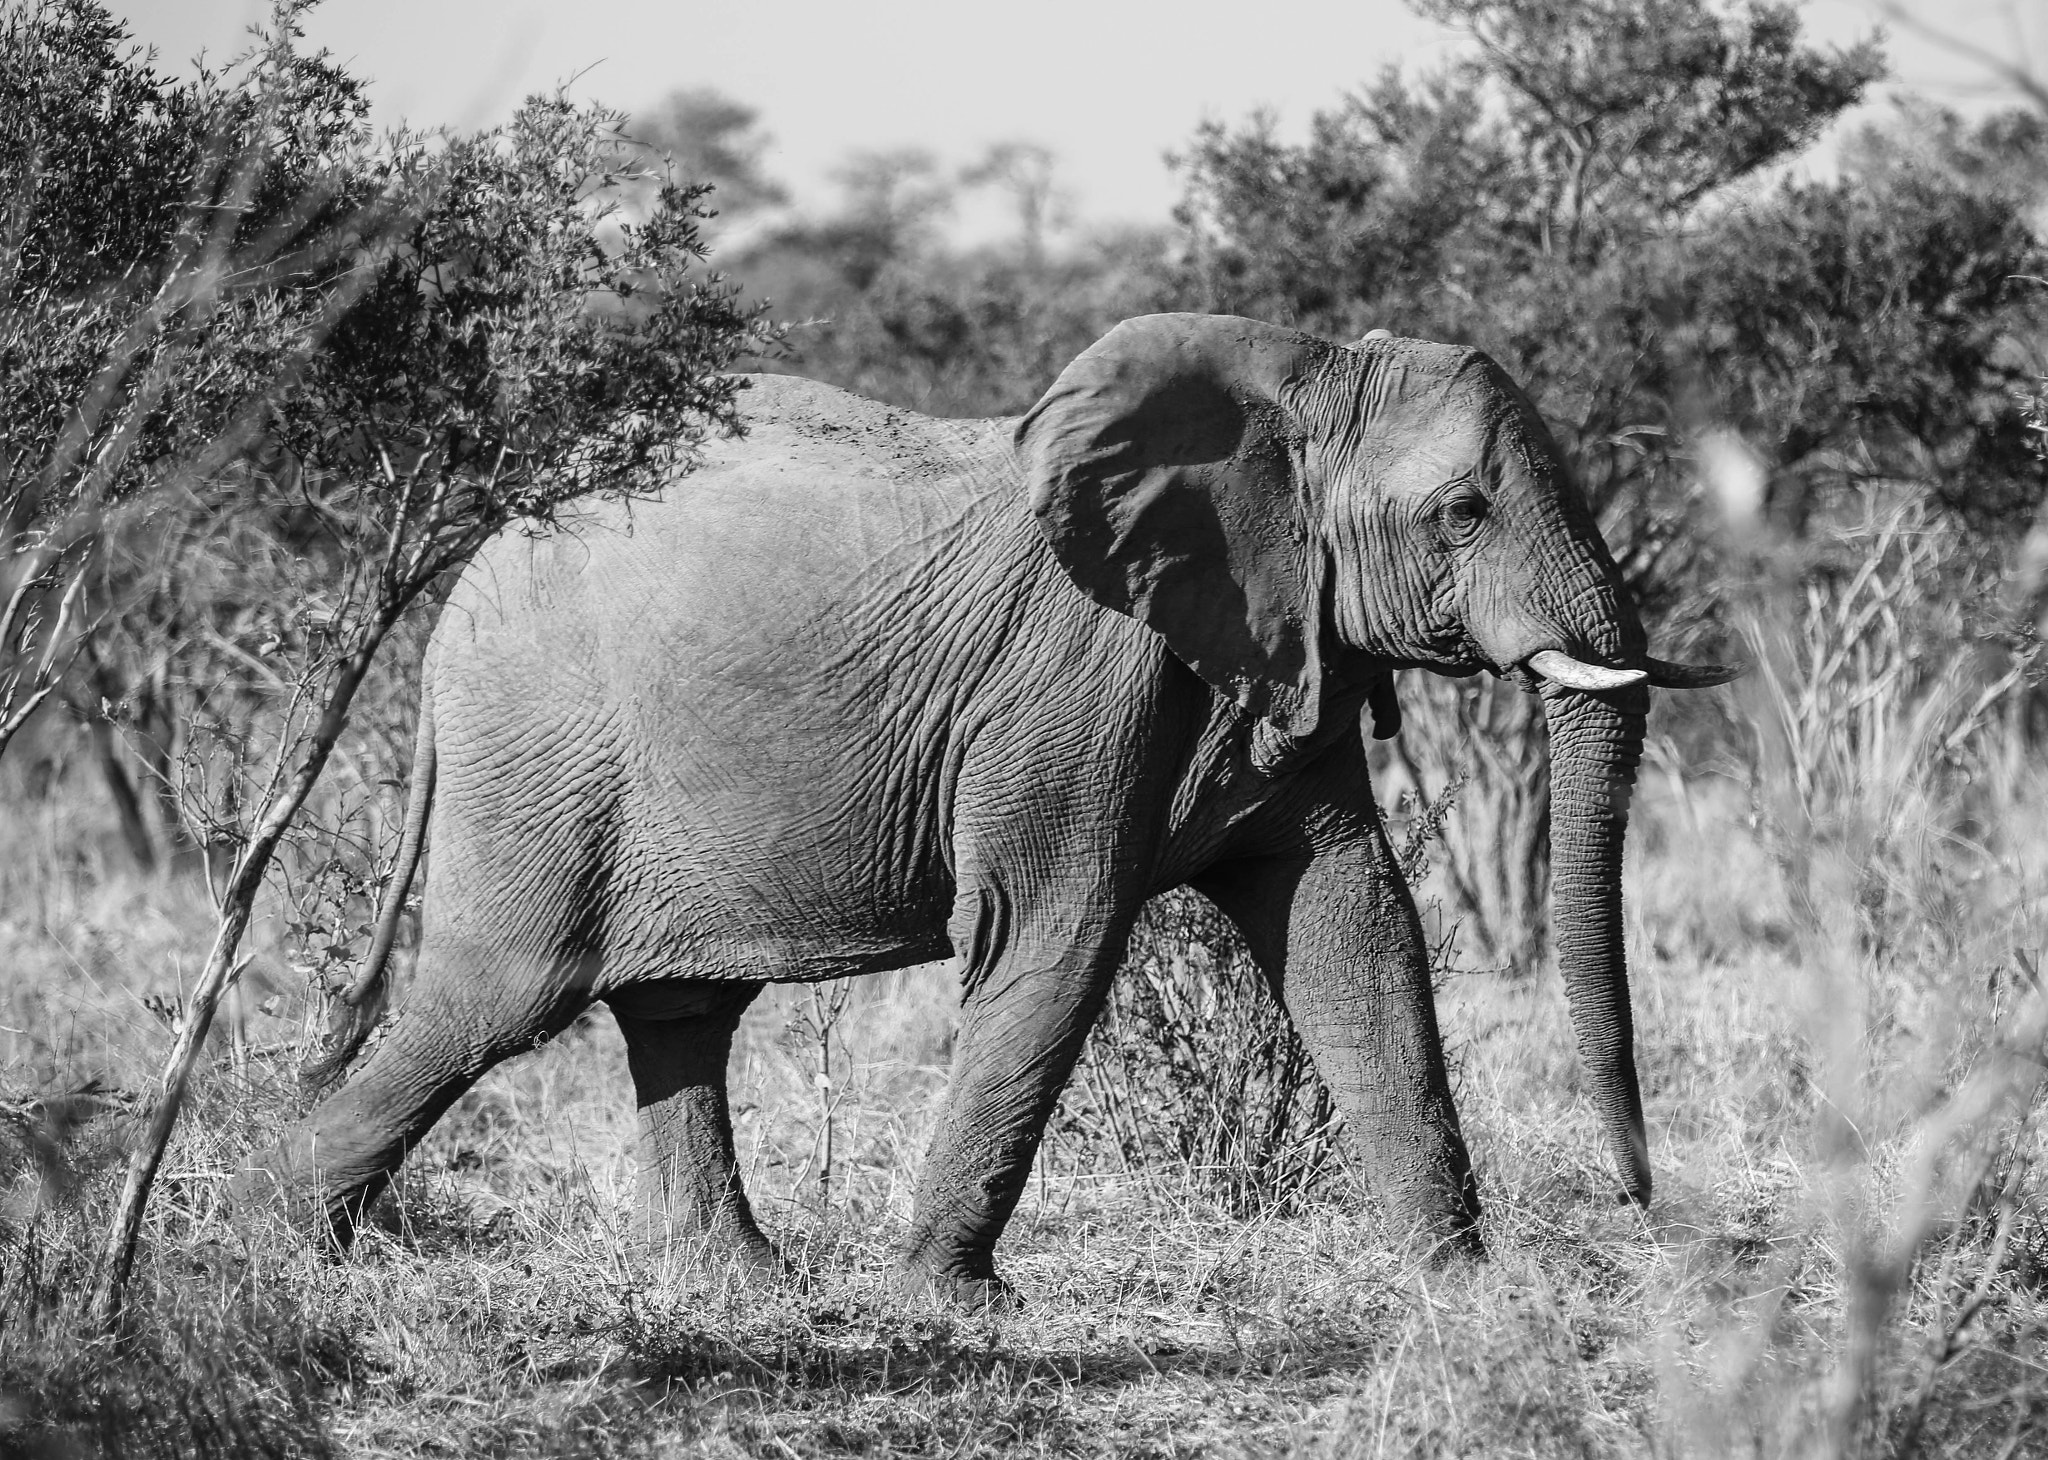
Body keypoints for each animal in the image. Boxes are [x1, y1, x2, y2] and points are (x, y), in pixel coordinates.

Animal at [245, 312, 1733, 1306]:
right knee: (496, 996)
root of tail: (457, 582)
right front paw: (953, 1304)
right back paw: (275, 1244)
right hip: (540, 750)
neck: (1289, 382)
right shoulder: (1076, 676)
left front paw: (1472, 1290)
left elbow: (1351, 928)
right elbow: (1053, 935)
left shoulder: (1278, 643)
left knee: (680, 1010)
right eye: (1463, 511)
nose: (1640, 1199)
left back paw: (747, 1287)